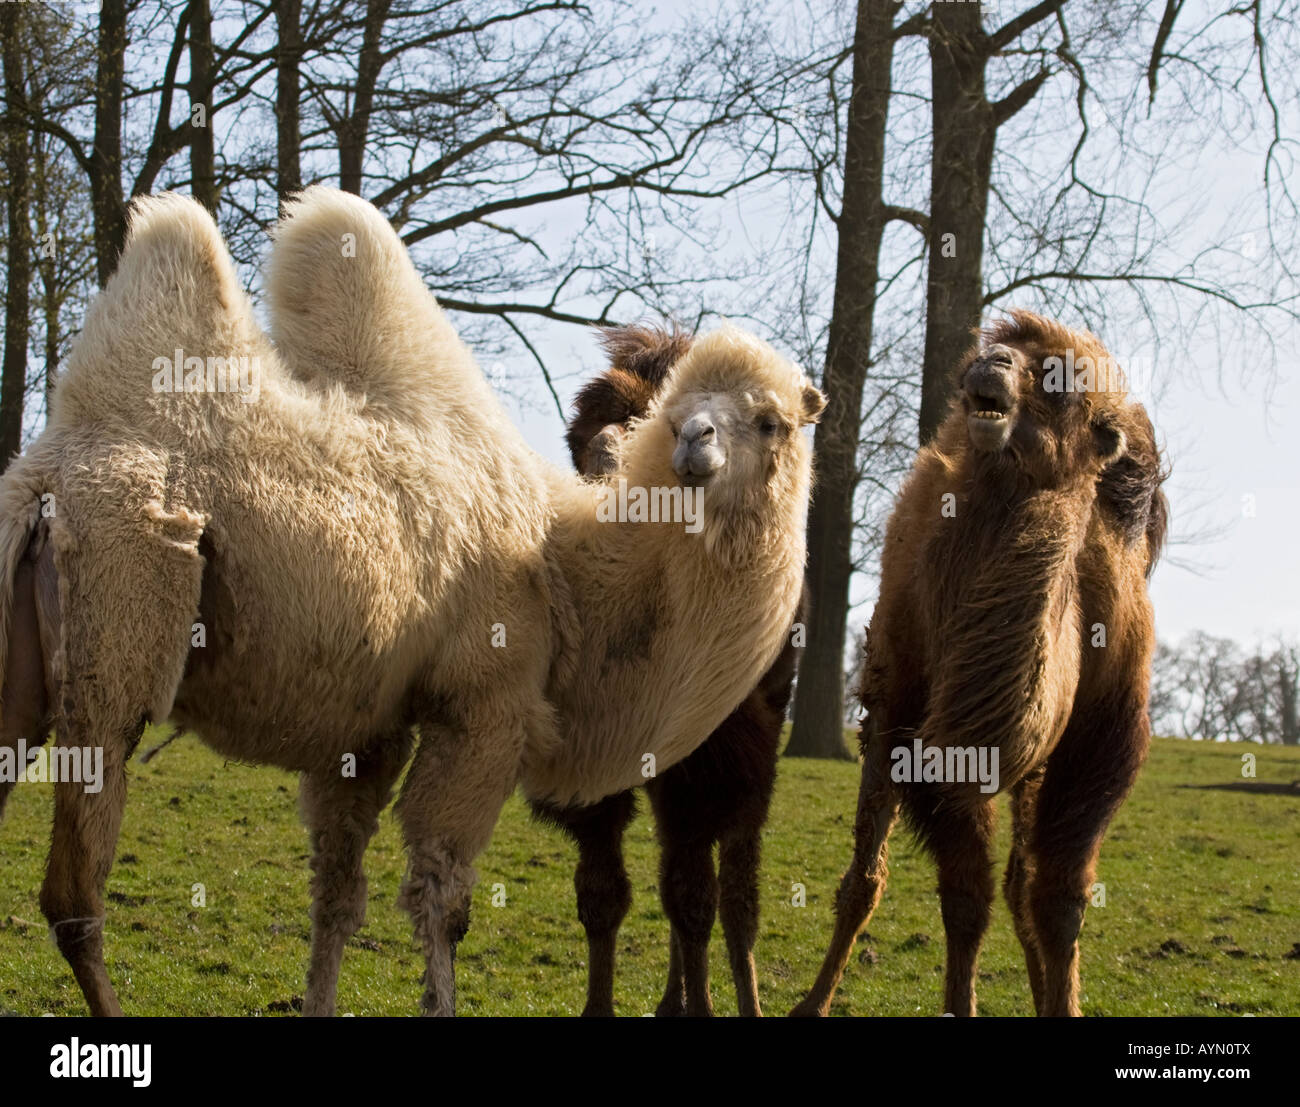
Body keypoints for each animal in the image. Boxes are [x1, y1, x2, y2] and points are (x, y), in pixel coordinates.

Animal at [791, 311, 1167, 1017]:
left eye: (1059, 383)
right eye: (1003, 353)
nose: (991, 362)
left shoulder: (1099, 742)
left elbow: (1060, 903)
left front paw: (1061, 1003)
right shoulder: (917, 731)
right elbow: (956, 896)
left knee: (1025, 881)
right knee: (889, 877)